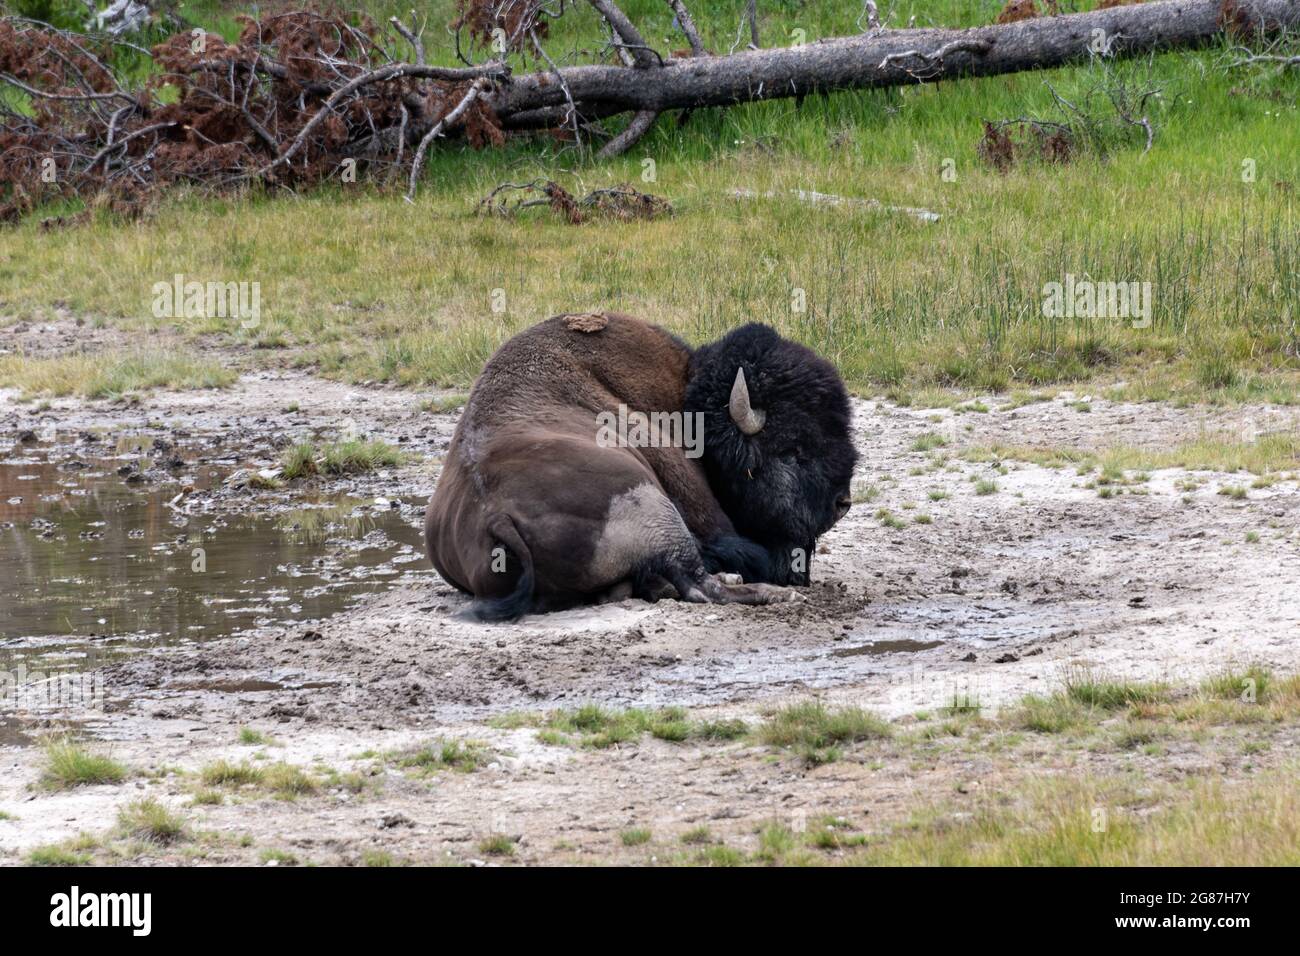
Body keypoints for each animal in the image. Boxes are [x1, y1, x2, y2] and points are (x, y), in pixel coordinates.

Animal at [424, 312, 857, 620]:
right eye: (792, 451)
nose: (842, 503)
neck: (687, 401)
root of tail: (496, 515)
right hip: (652, 505)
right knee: (700, 585)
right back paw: (775, 593)